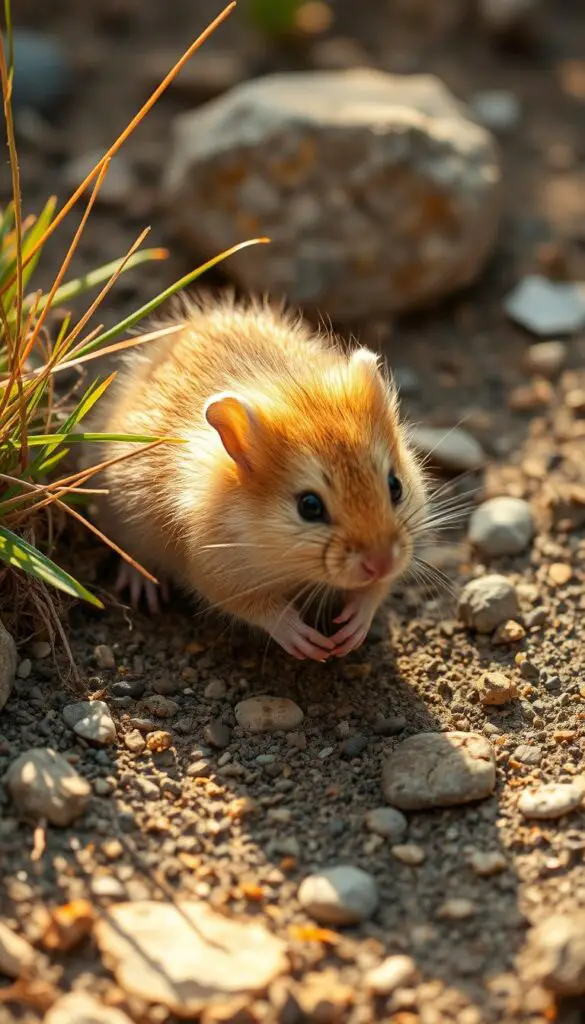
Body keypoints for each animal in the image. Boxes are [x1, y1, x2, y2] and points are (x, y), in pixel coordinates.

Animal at [88, 294, 428, 660]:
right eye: (309, 506)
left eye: (395, 486)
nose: (381, 563)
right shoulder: (216, 573)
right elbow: (265, 610)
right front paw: (308, 642)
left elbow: (375, 592)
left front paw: (353, 626)